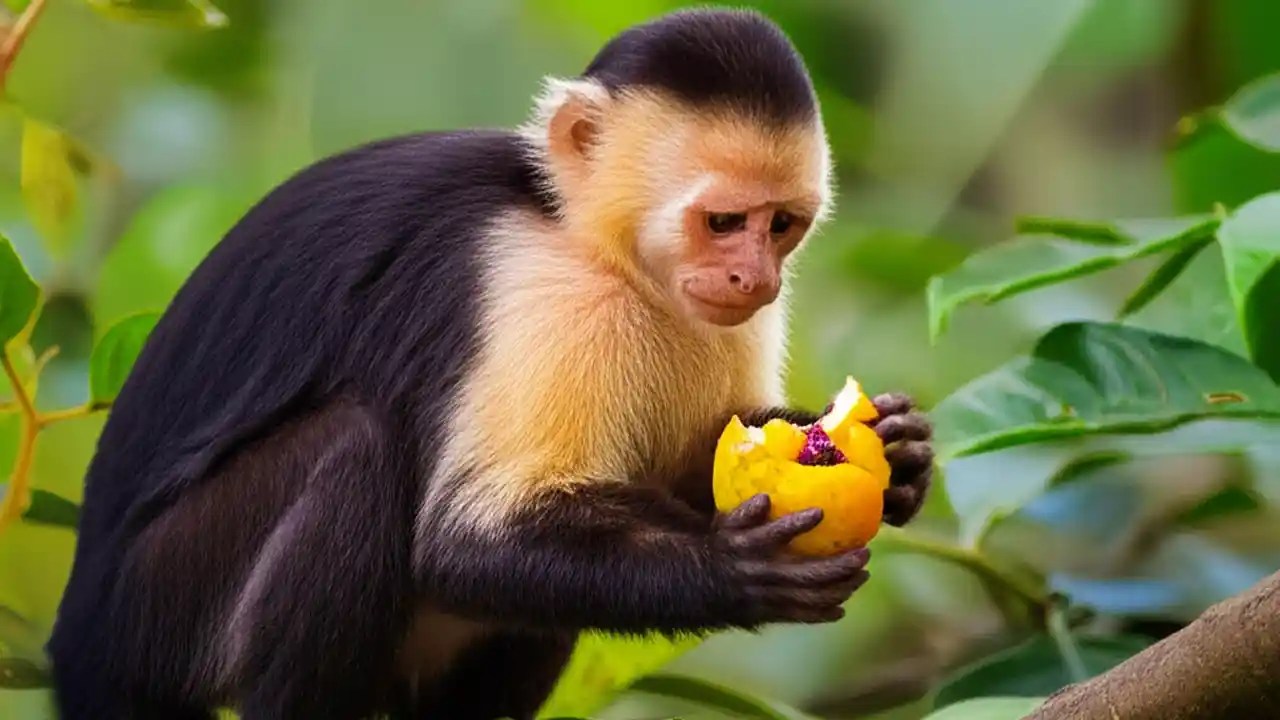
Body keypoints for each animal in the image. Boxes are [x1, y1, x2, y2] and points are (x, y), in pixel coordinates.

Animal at [46, 8, 933, 720]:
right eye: (722, 222)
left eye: (781, 225)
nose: (756, 277)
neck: (594, 245)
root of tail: (77, 648)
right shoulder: (535, 284)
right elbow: (467, 541)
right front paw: (731, 566)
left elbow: (707, 451)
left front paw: (896, 449)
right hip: (152, 618)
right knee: (354, 451)